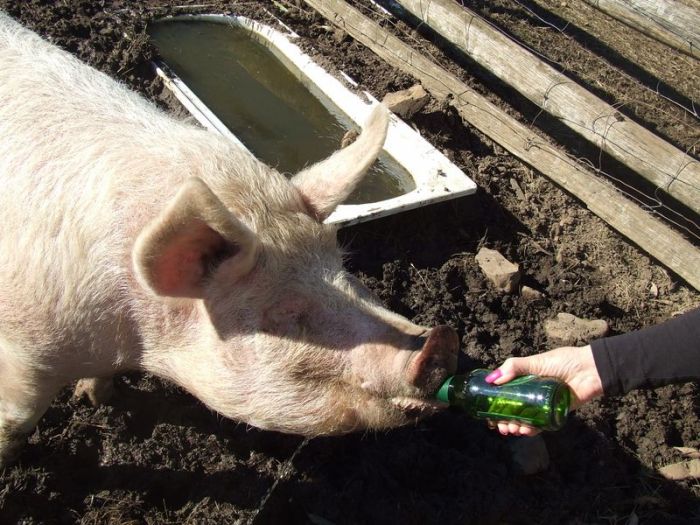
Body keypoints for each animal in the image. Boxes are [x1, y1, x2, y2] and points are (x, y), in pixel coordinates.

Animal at [0, 12, 458, 466]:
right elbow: (18, 420)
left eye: (344, 270)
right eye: (284, 313)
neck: (133, 337)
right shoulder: (28, 351)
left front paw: (97, 397)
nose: (441, 342)